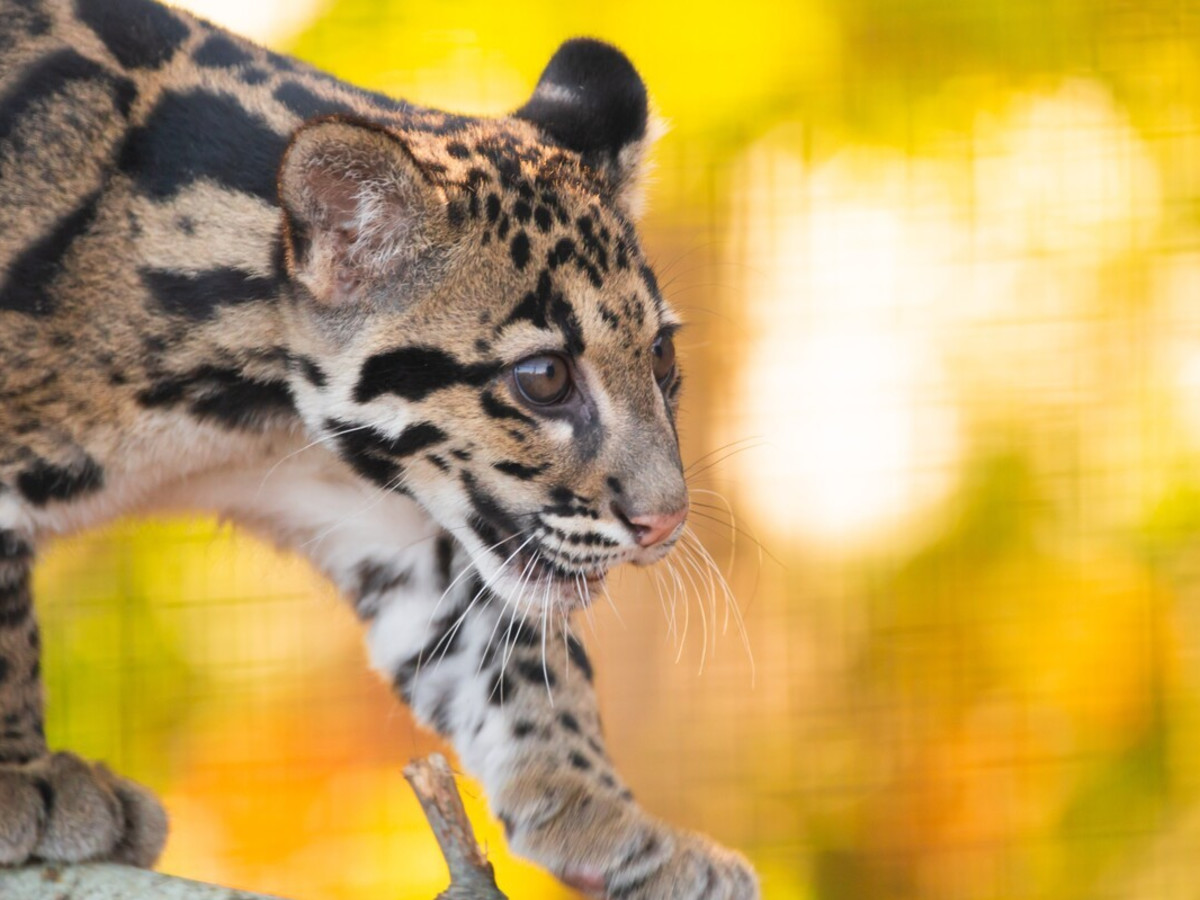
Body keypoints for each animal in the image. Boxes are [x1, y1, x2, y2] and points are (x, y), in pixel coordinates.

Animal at [0, 0, 759, 897]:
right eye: (544, 377)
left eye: (663, 355)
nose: (665, 521)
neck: (250, 409)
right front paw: (22, 778)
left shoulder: (380, 515)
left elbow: (499, 651)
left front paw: (611, 820)